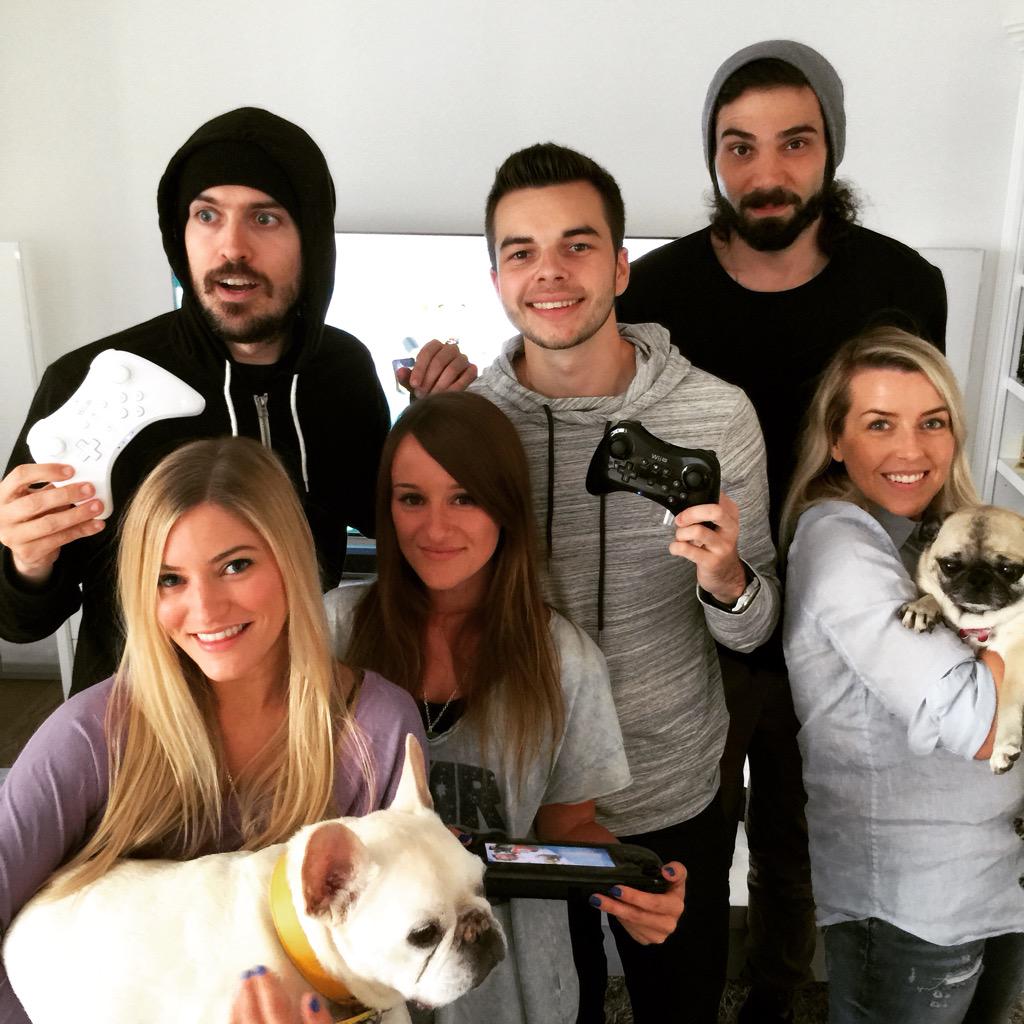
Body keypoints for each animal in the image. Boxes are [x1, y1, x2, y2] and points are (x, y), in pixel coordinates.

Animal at [899, 504, 1024, 775]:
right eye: (950, 565)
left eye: (1009, 571)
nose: (979, 578)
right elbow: (934, 597)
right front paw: (922, 607)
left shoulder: (1019, 655)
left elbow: (1010, 698)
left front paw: (1004, 746)